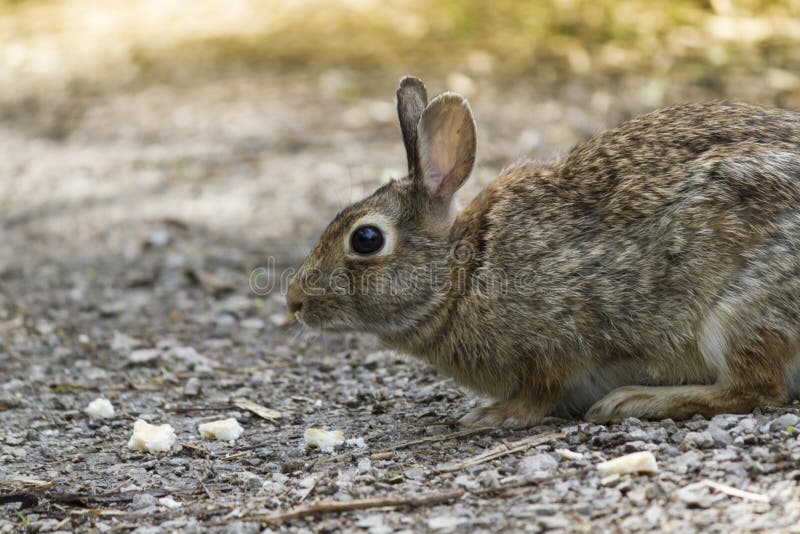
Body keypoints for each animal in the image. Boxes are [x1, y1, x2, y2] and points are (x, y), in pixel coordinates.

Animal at [286, 76, 800, 427]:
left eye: (366, 239)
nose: (294, 301)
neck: (467, 270)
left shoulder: (557, 339)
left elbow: (539, 391)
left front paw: (493, 415)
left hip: (738, 313)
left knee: (756, 387)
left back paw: (632, 401)